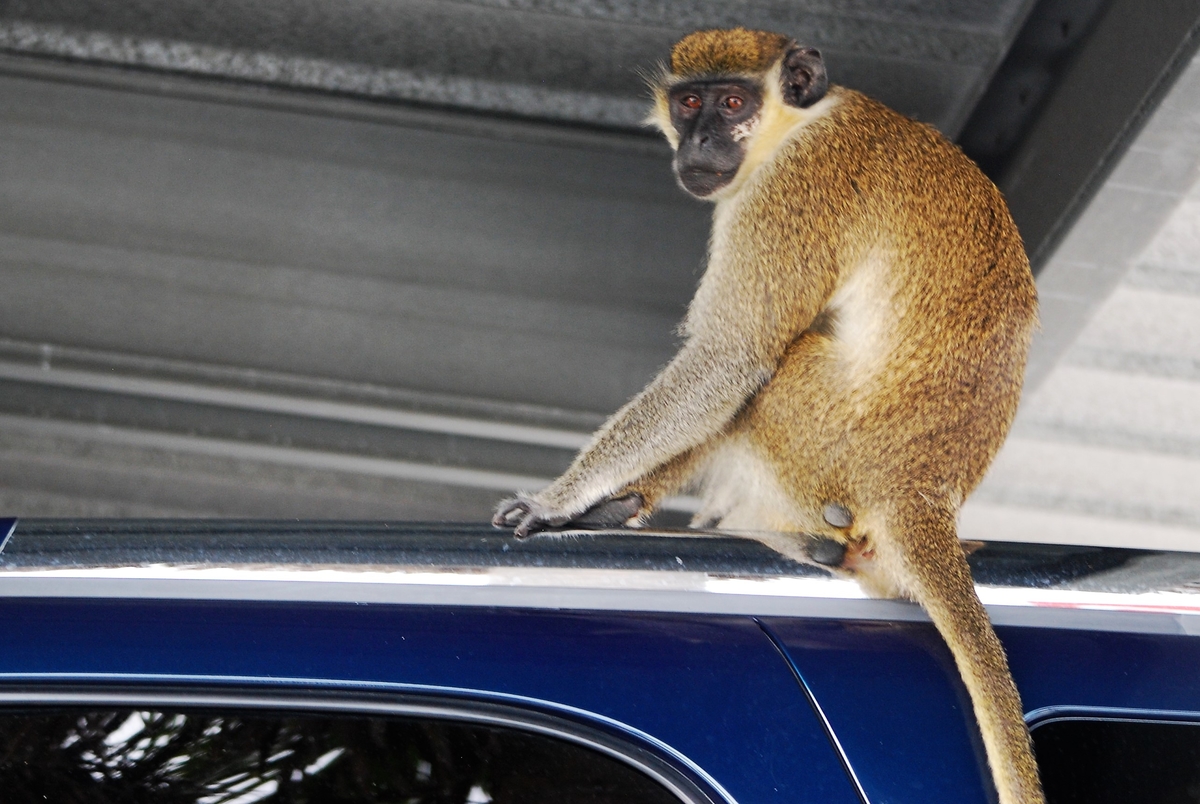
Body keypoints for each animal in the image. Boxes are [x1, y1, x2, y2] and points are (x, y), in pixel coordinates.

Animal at [493, 27, 1042, 804]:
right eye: (689, 102)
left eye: (731, 102)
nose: (701, 139)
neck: (798, 122)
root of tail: (922, 488)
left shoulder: (791, 190)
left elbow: (732, 357)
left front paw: (558, 499)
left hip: (824, 437)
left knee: (768, 367)